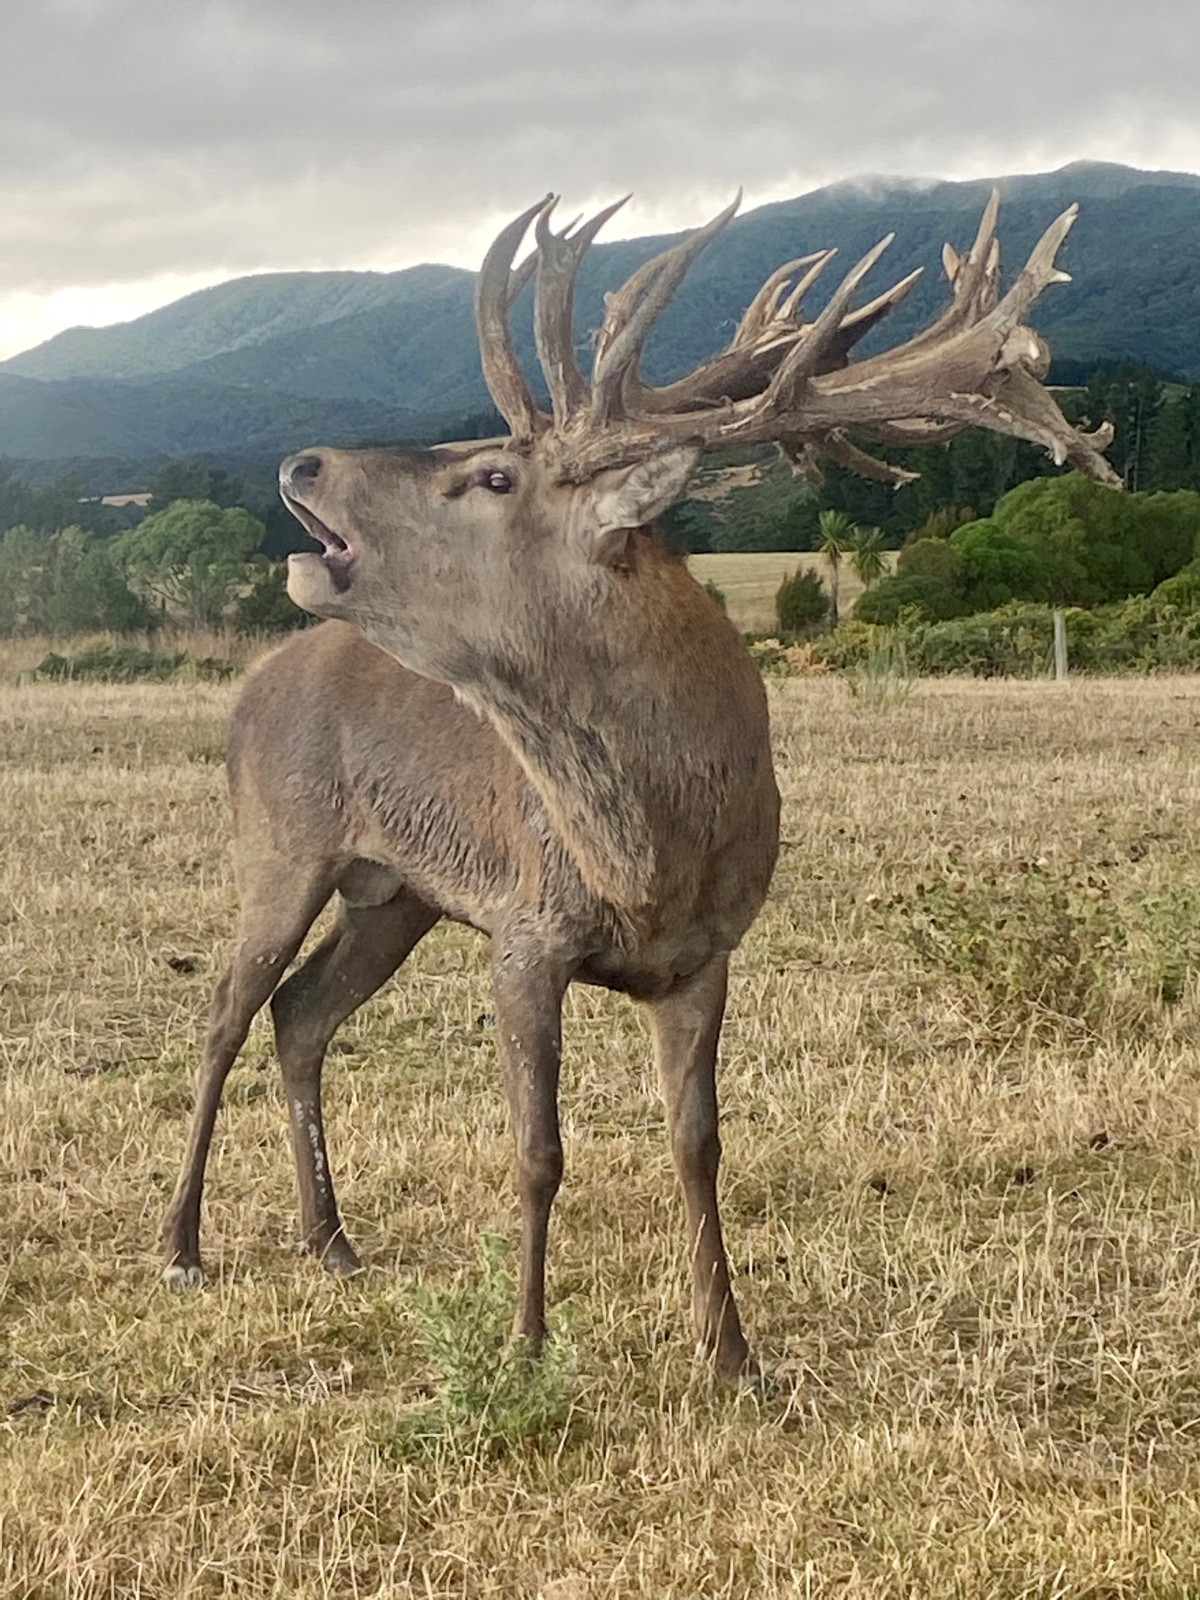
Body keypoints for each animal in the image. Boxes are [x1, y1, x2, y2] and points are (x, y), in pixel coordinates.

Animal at [161, 189, 1117, 1380]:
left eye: (493, 473)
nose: (303, 467)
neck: (651, 854)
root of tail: (253, 684)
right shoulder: (528, 930)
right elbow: (537, 1149)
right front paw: (527, 1342)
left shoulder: (709, 951)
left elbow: (699, 1143)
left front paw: (733, 1352)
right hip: (279, 841)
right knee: (224, 1013)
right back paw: (182, 1245)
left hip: (398, 895)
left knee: (299, 1014)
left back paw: (332, 1240)